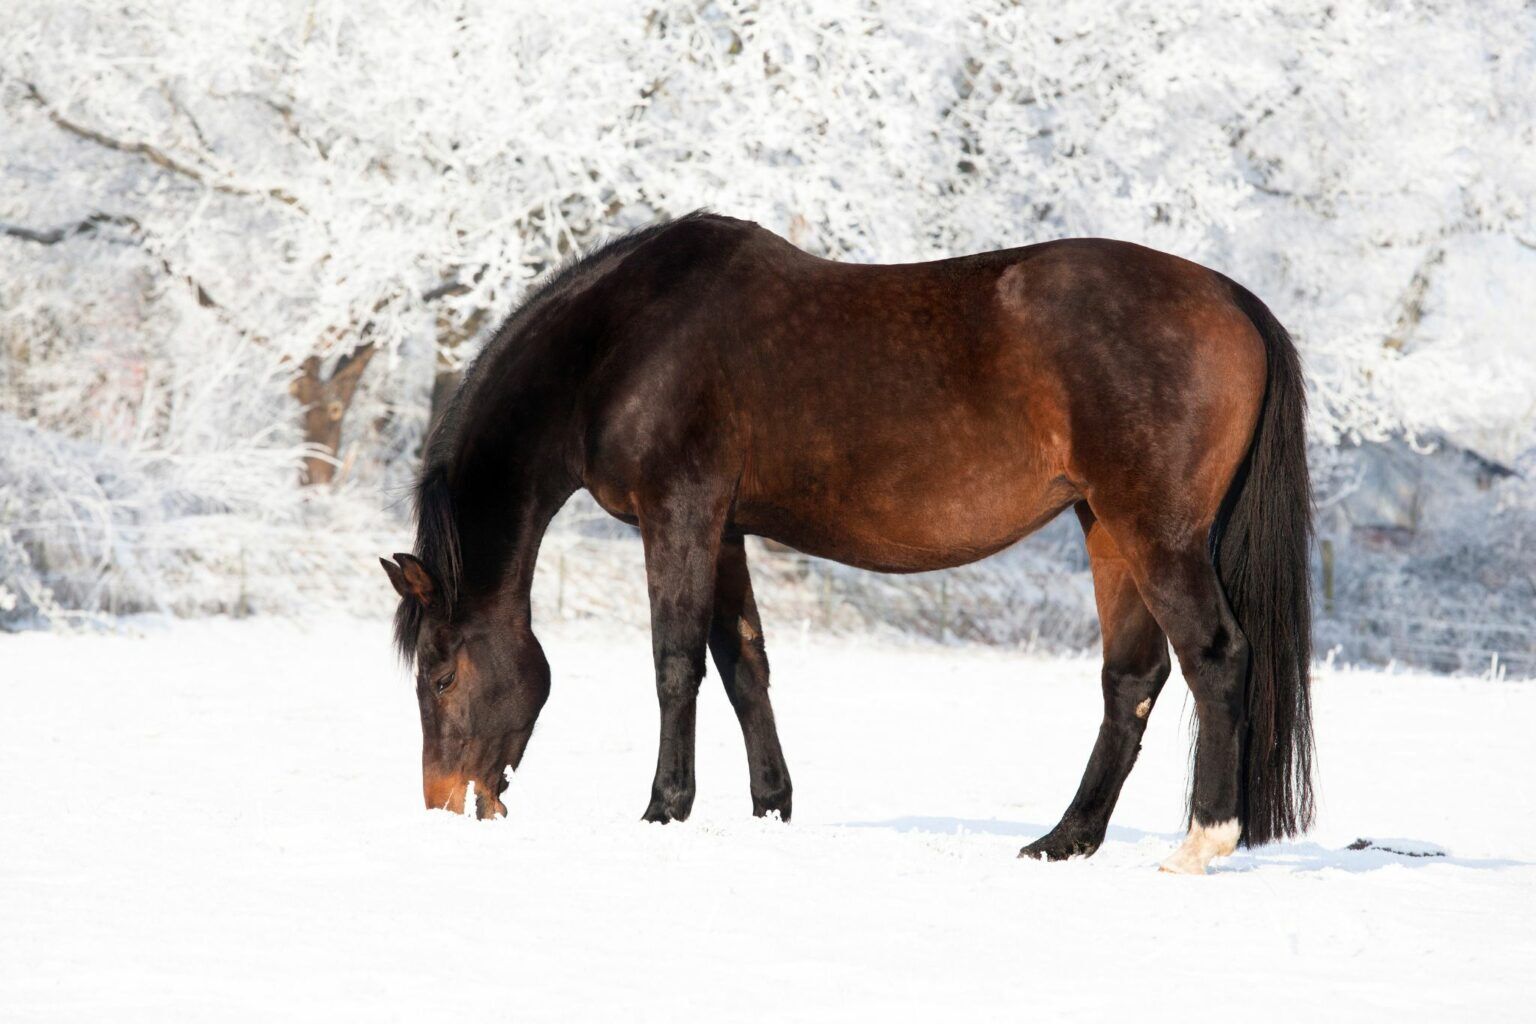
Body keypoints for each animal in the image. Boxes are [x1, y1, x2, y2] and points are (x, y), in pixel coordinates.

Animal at [380, 211, 1314, 874]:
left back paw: (1200, 842)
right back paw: (1065, 840)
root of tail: (1233, 300)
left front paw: (665, 808)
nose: (443, 803)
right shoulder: (724, 531)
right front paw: (770, 806)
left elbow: (676, 663)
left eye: (441, 674)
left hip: (1156, 532)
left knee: (1214, 656)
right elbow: (743, 666)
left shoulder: (678, 513)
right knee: (1134, 680)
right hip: (1107, 529)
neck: (620, 341)